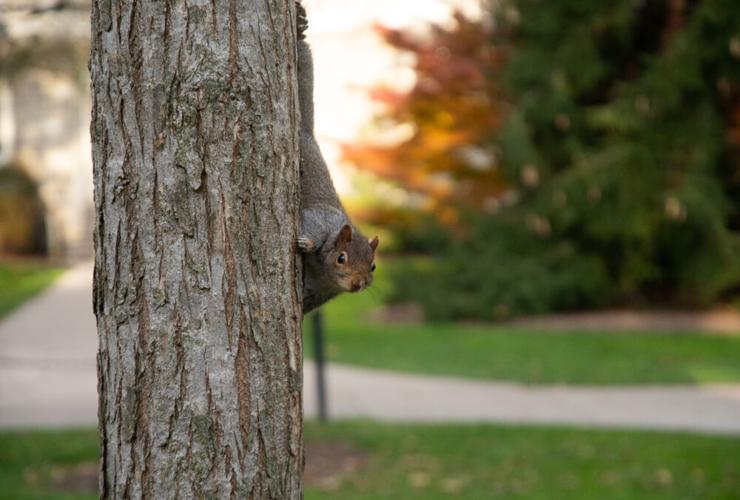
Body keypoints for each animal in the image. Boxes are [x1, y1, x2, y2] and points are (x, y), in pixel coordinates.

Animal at [295, 2, 379, 314]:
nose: (357, 284)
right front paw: (307, 243)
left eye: (373, 266)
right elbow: (309, 224)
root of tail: (306, 134)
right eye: (341, 258)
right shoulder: (322, 218)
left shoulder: (322, 292)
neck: (324, 275)